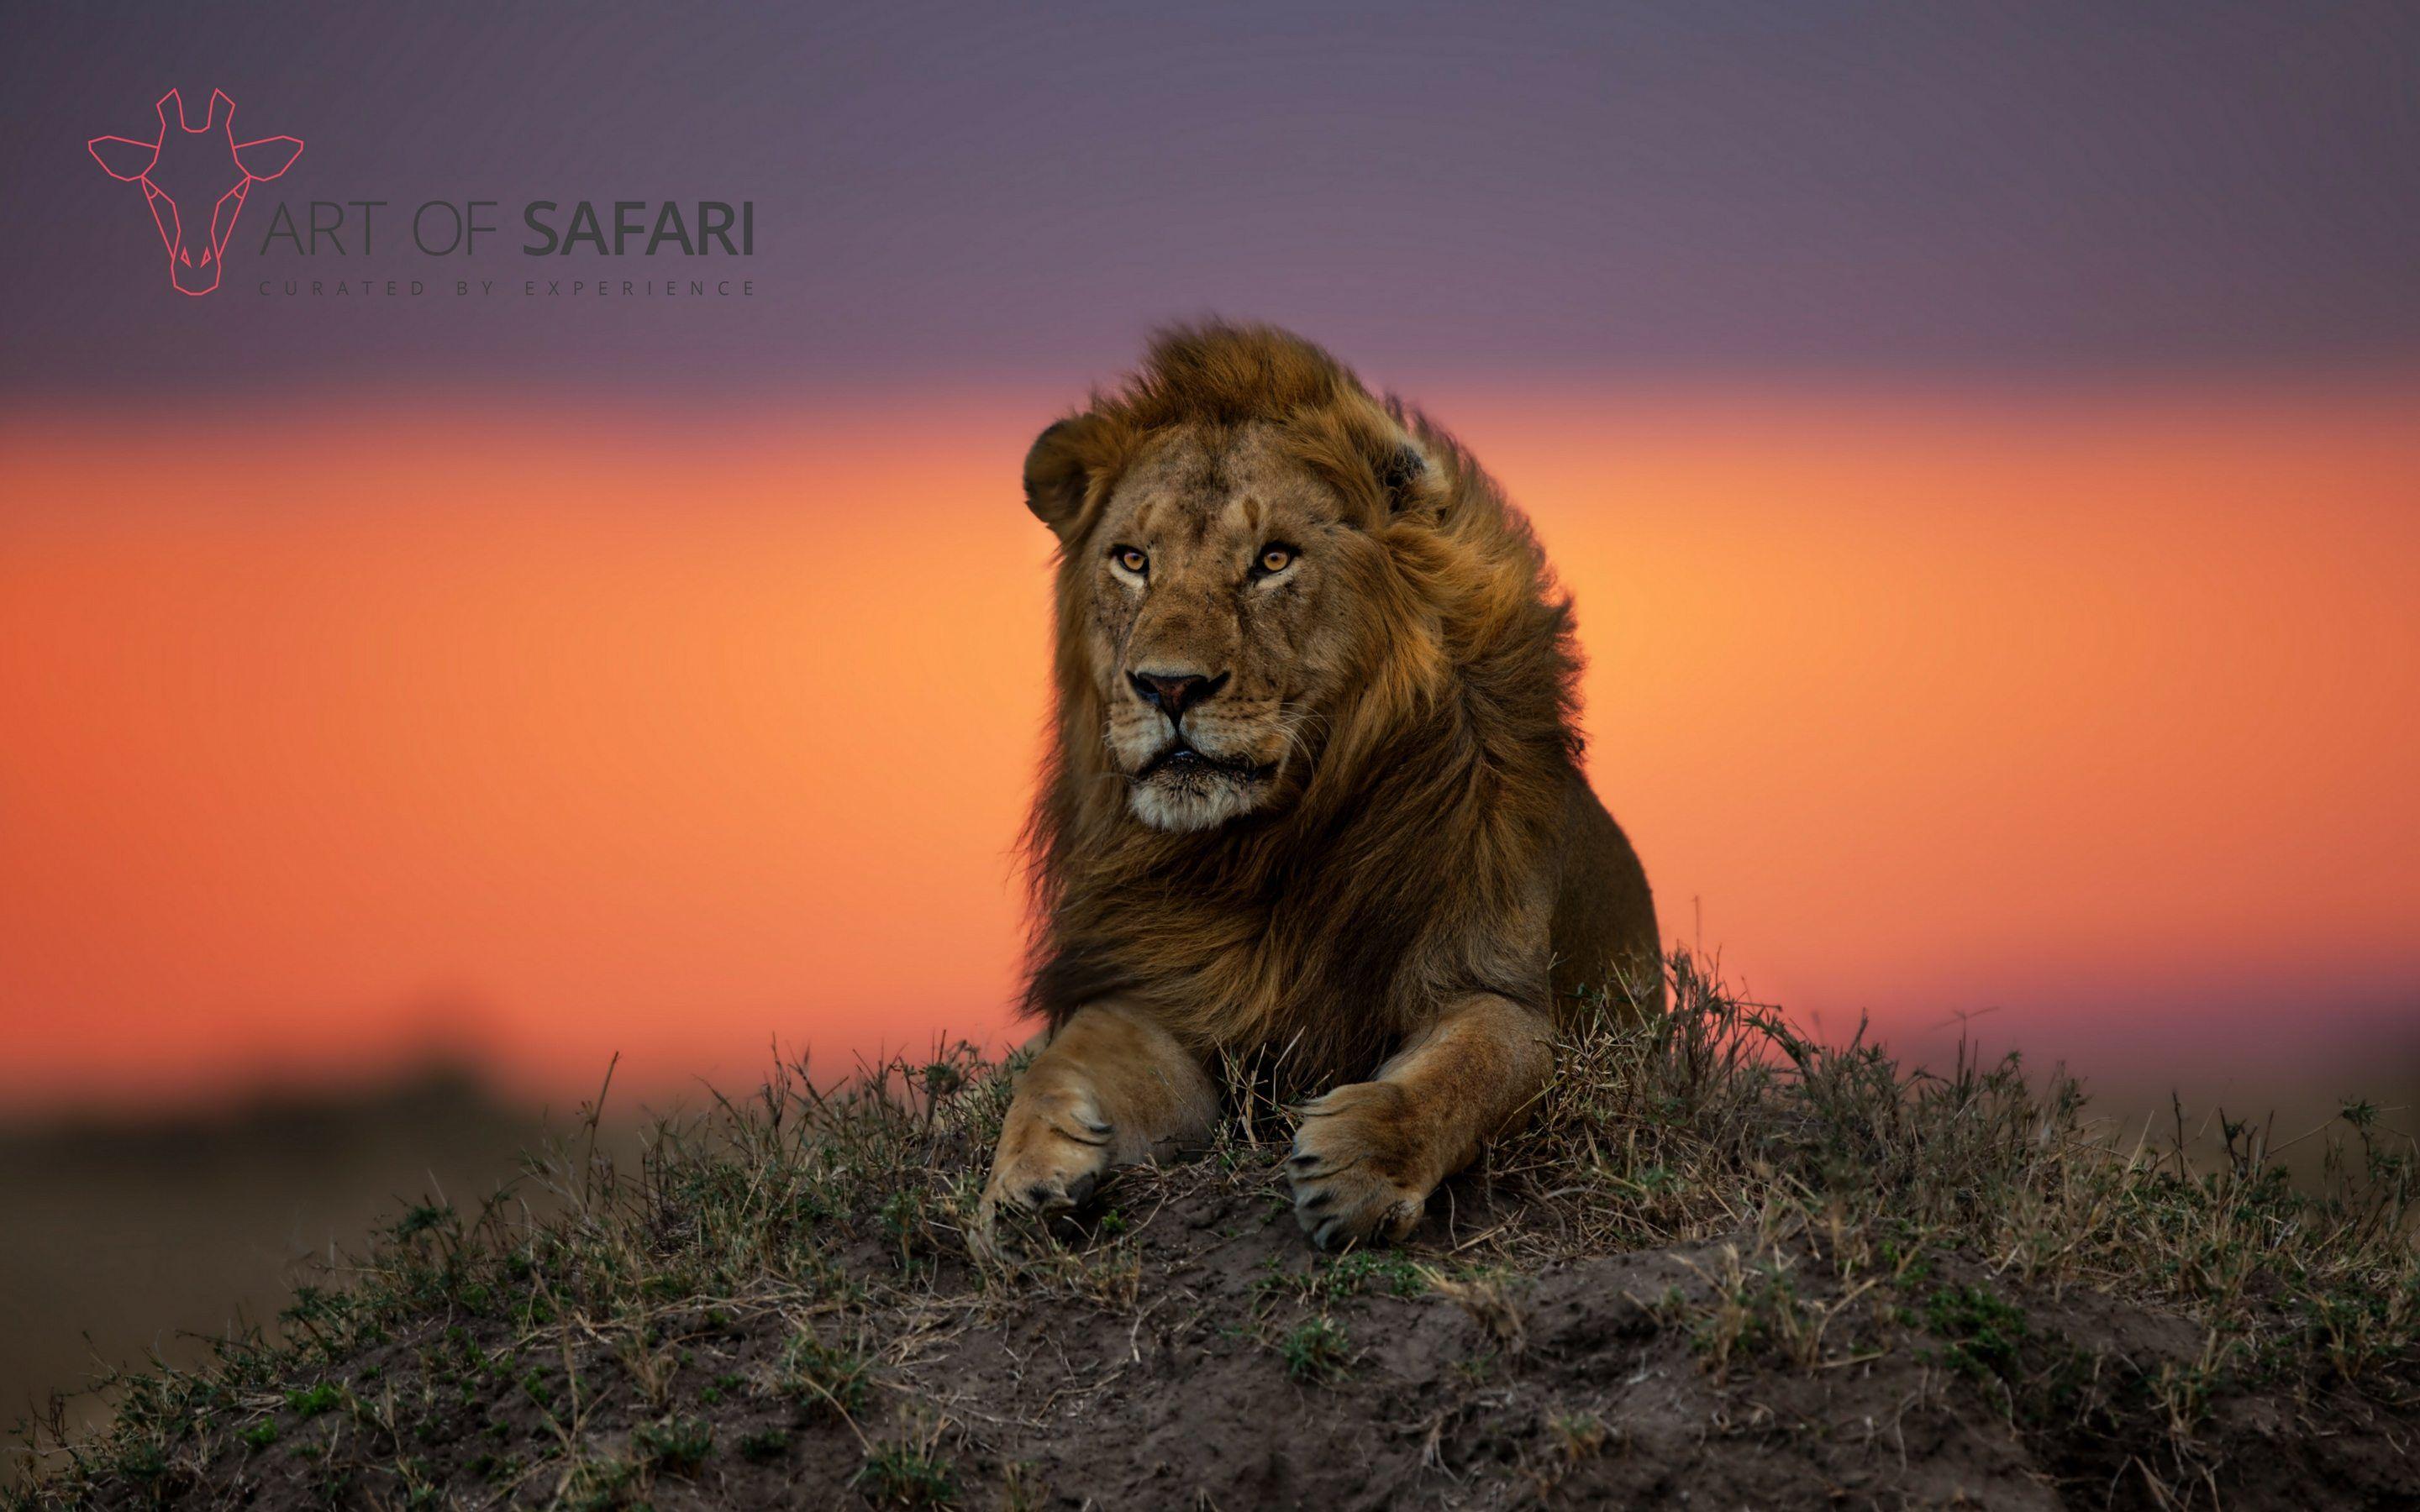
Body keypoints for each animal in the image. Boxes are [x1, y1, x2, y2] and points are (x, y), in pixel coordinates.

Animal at [980, 323, 1660, 1251]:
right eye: (1132, 561)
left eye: (1273, 560)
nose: (1168, 686)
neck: (1268, 846)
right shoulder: (1162, 996)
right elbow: (1057, 1063)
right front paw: (1019, 1181)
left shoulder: (1497, 986)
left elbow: (1470, 1068)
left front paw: (1360, 1167)